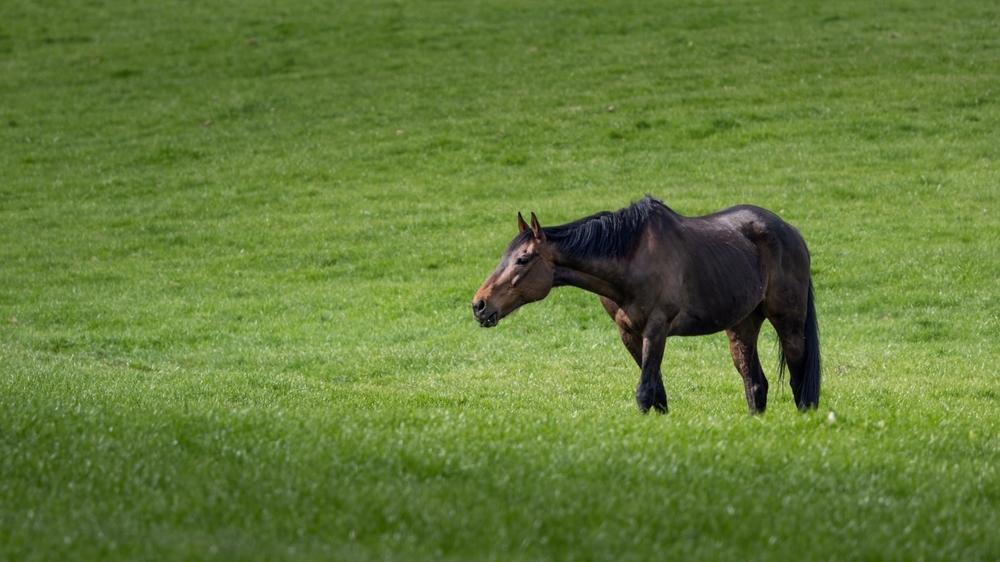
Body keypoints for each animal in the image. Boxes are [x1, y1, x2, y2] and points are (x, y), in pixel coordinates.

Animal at [472, 196, 820, 414]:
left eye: (523, 259)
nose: (479, 305)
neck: (631, 259)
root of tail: (791, 232)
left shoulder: (657, 327)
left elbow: (645, 392)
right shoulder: (629, 332)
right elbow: (657, 393)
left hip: (789, 323)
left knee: (799, 381)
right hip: (742, 325)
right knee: (755, 384)